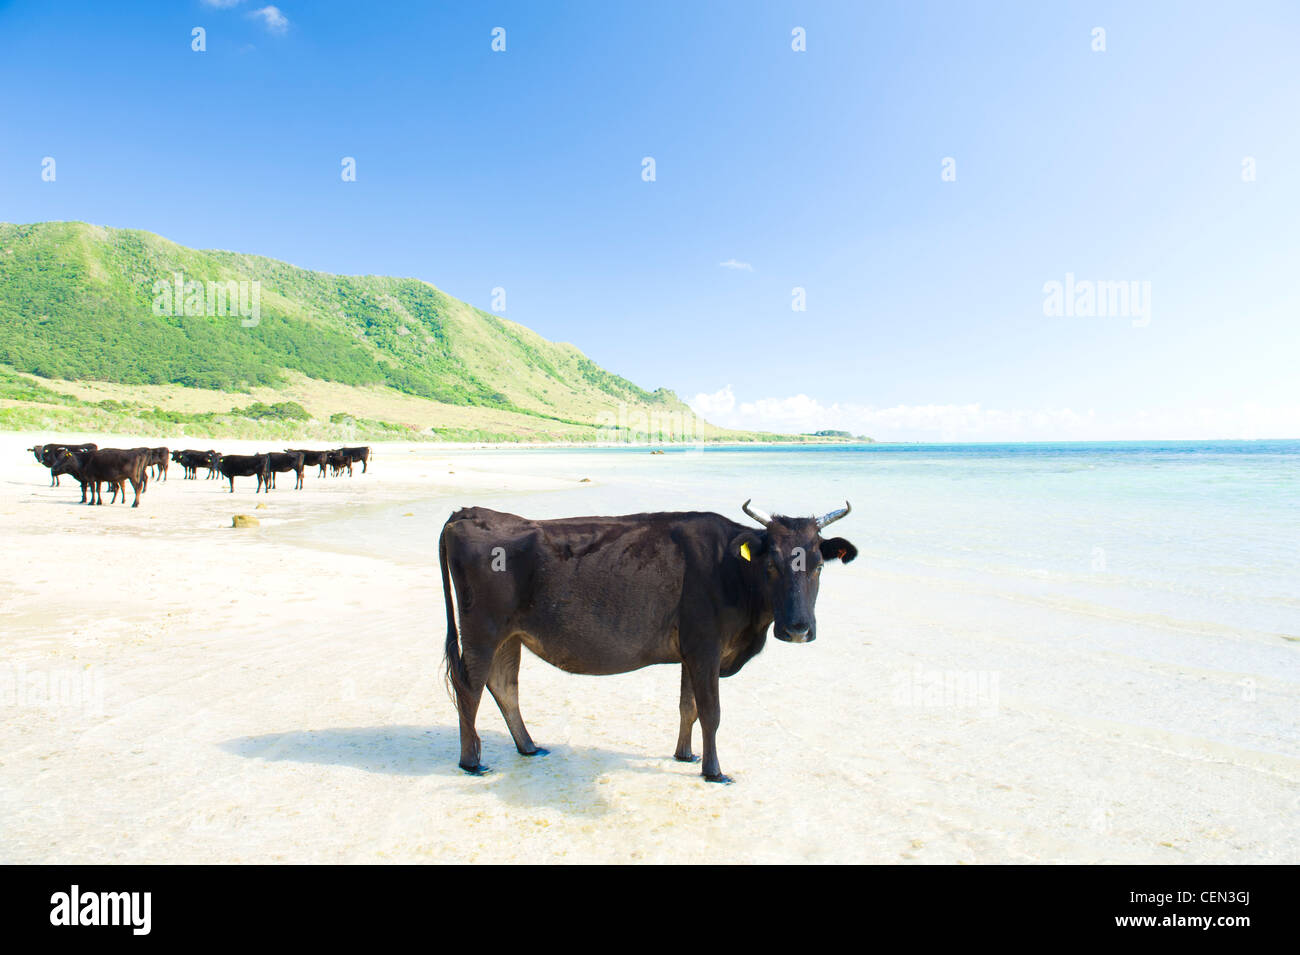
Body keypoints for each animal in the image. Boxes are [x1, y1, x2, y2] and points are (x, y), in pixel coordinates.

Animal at [438, 500, 857, 783]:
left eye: (819, 565)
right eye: (771, 565)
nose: (798, 629)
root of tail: (467, 512)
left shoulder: (692, 650)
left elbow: (688, 707)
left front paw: (685, 756)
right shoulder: (705, 645)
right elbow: (712, 712)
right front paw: (714, 771)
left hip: (509, 635)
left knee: (503, 686)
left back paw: (529, 747)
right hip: (481, 629)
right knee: (469, 688)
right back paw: (471, 761)